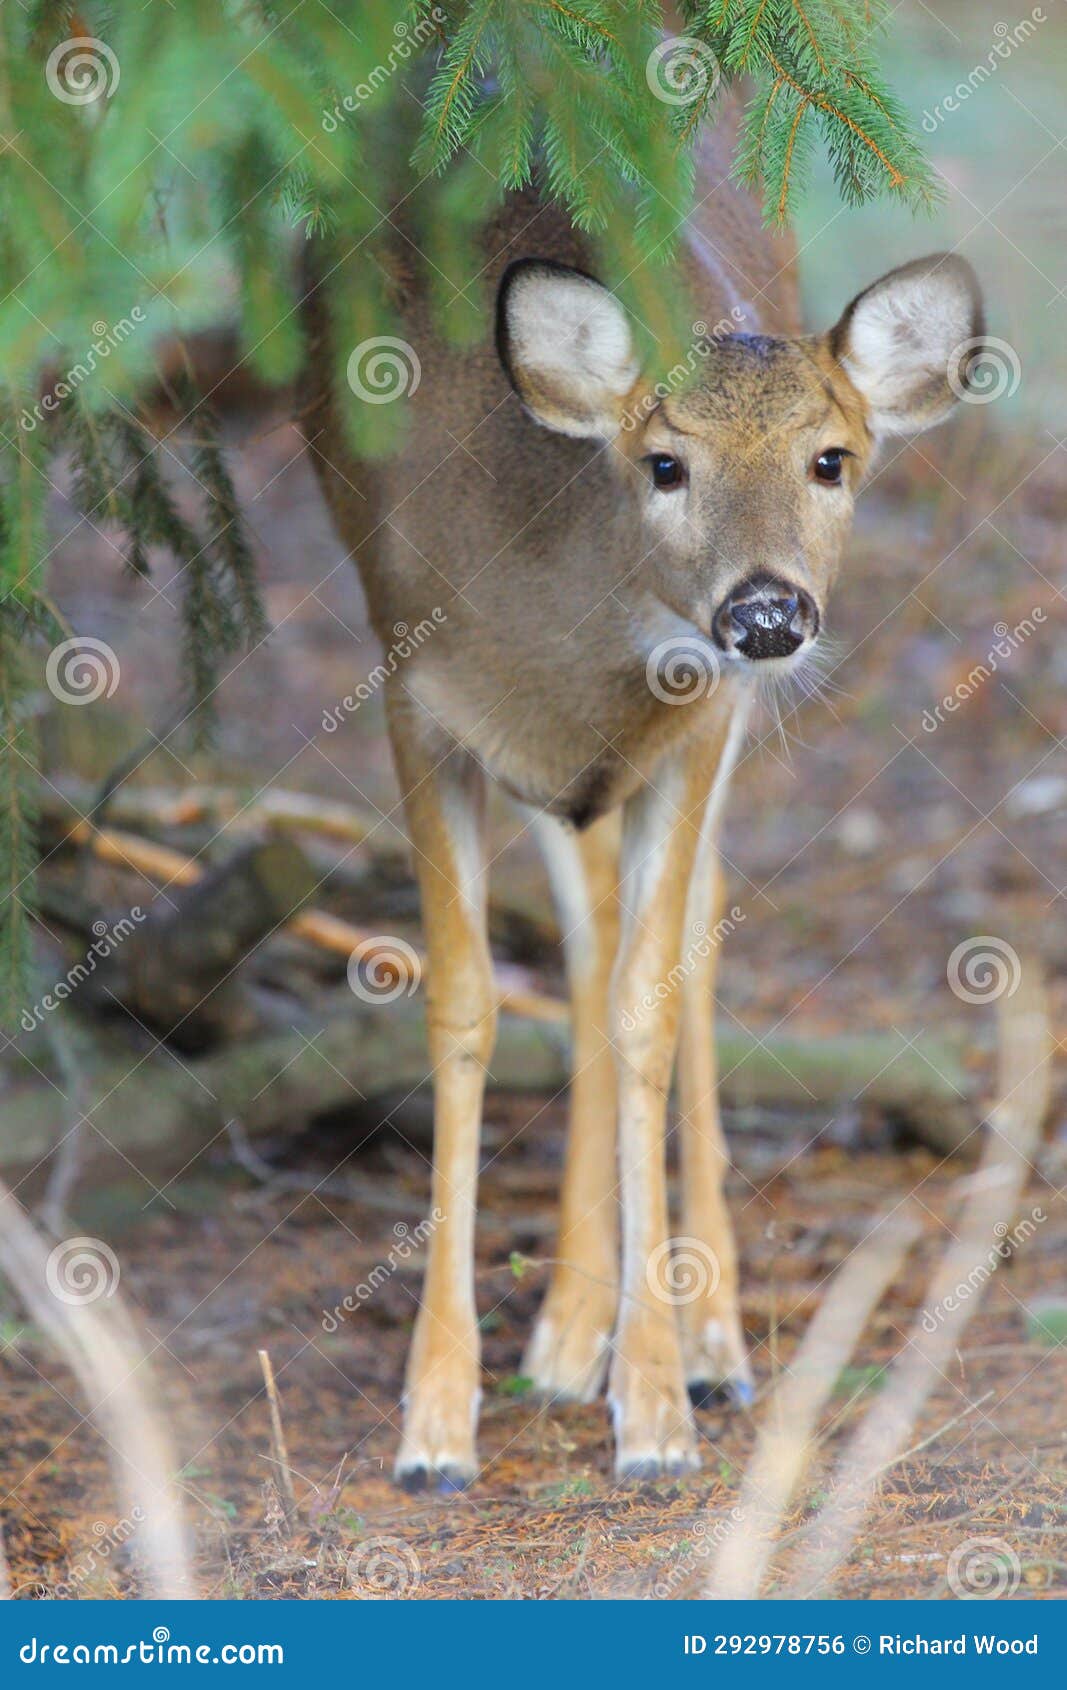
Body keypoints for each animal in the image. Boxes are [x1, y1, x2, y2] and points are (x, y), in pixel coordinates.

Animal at [300, 89, 982, 1490]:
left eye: (831, 460)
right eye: (664, 464)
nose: (767, 610)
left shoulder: (697, 718)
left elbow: (648, 1005)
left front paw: (659, 1406)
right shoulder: (414, 697)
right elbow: (463, 1006)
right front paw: (435, 1421)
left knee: (682, 930)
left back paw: (705, 1335)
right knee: (587, 928)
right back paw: (565, 1332)